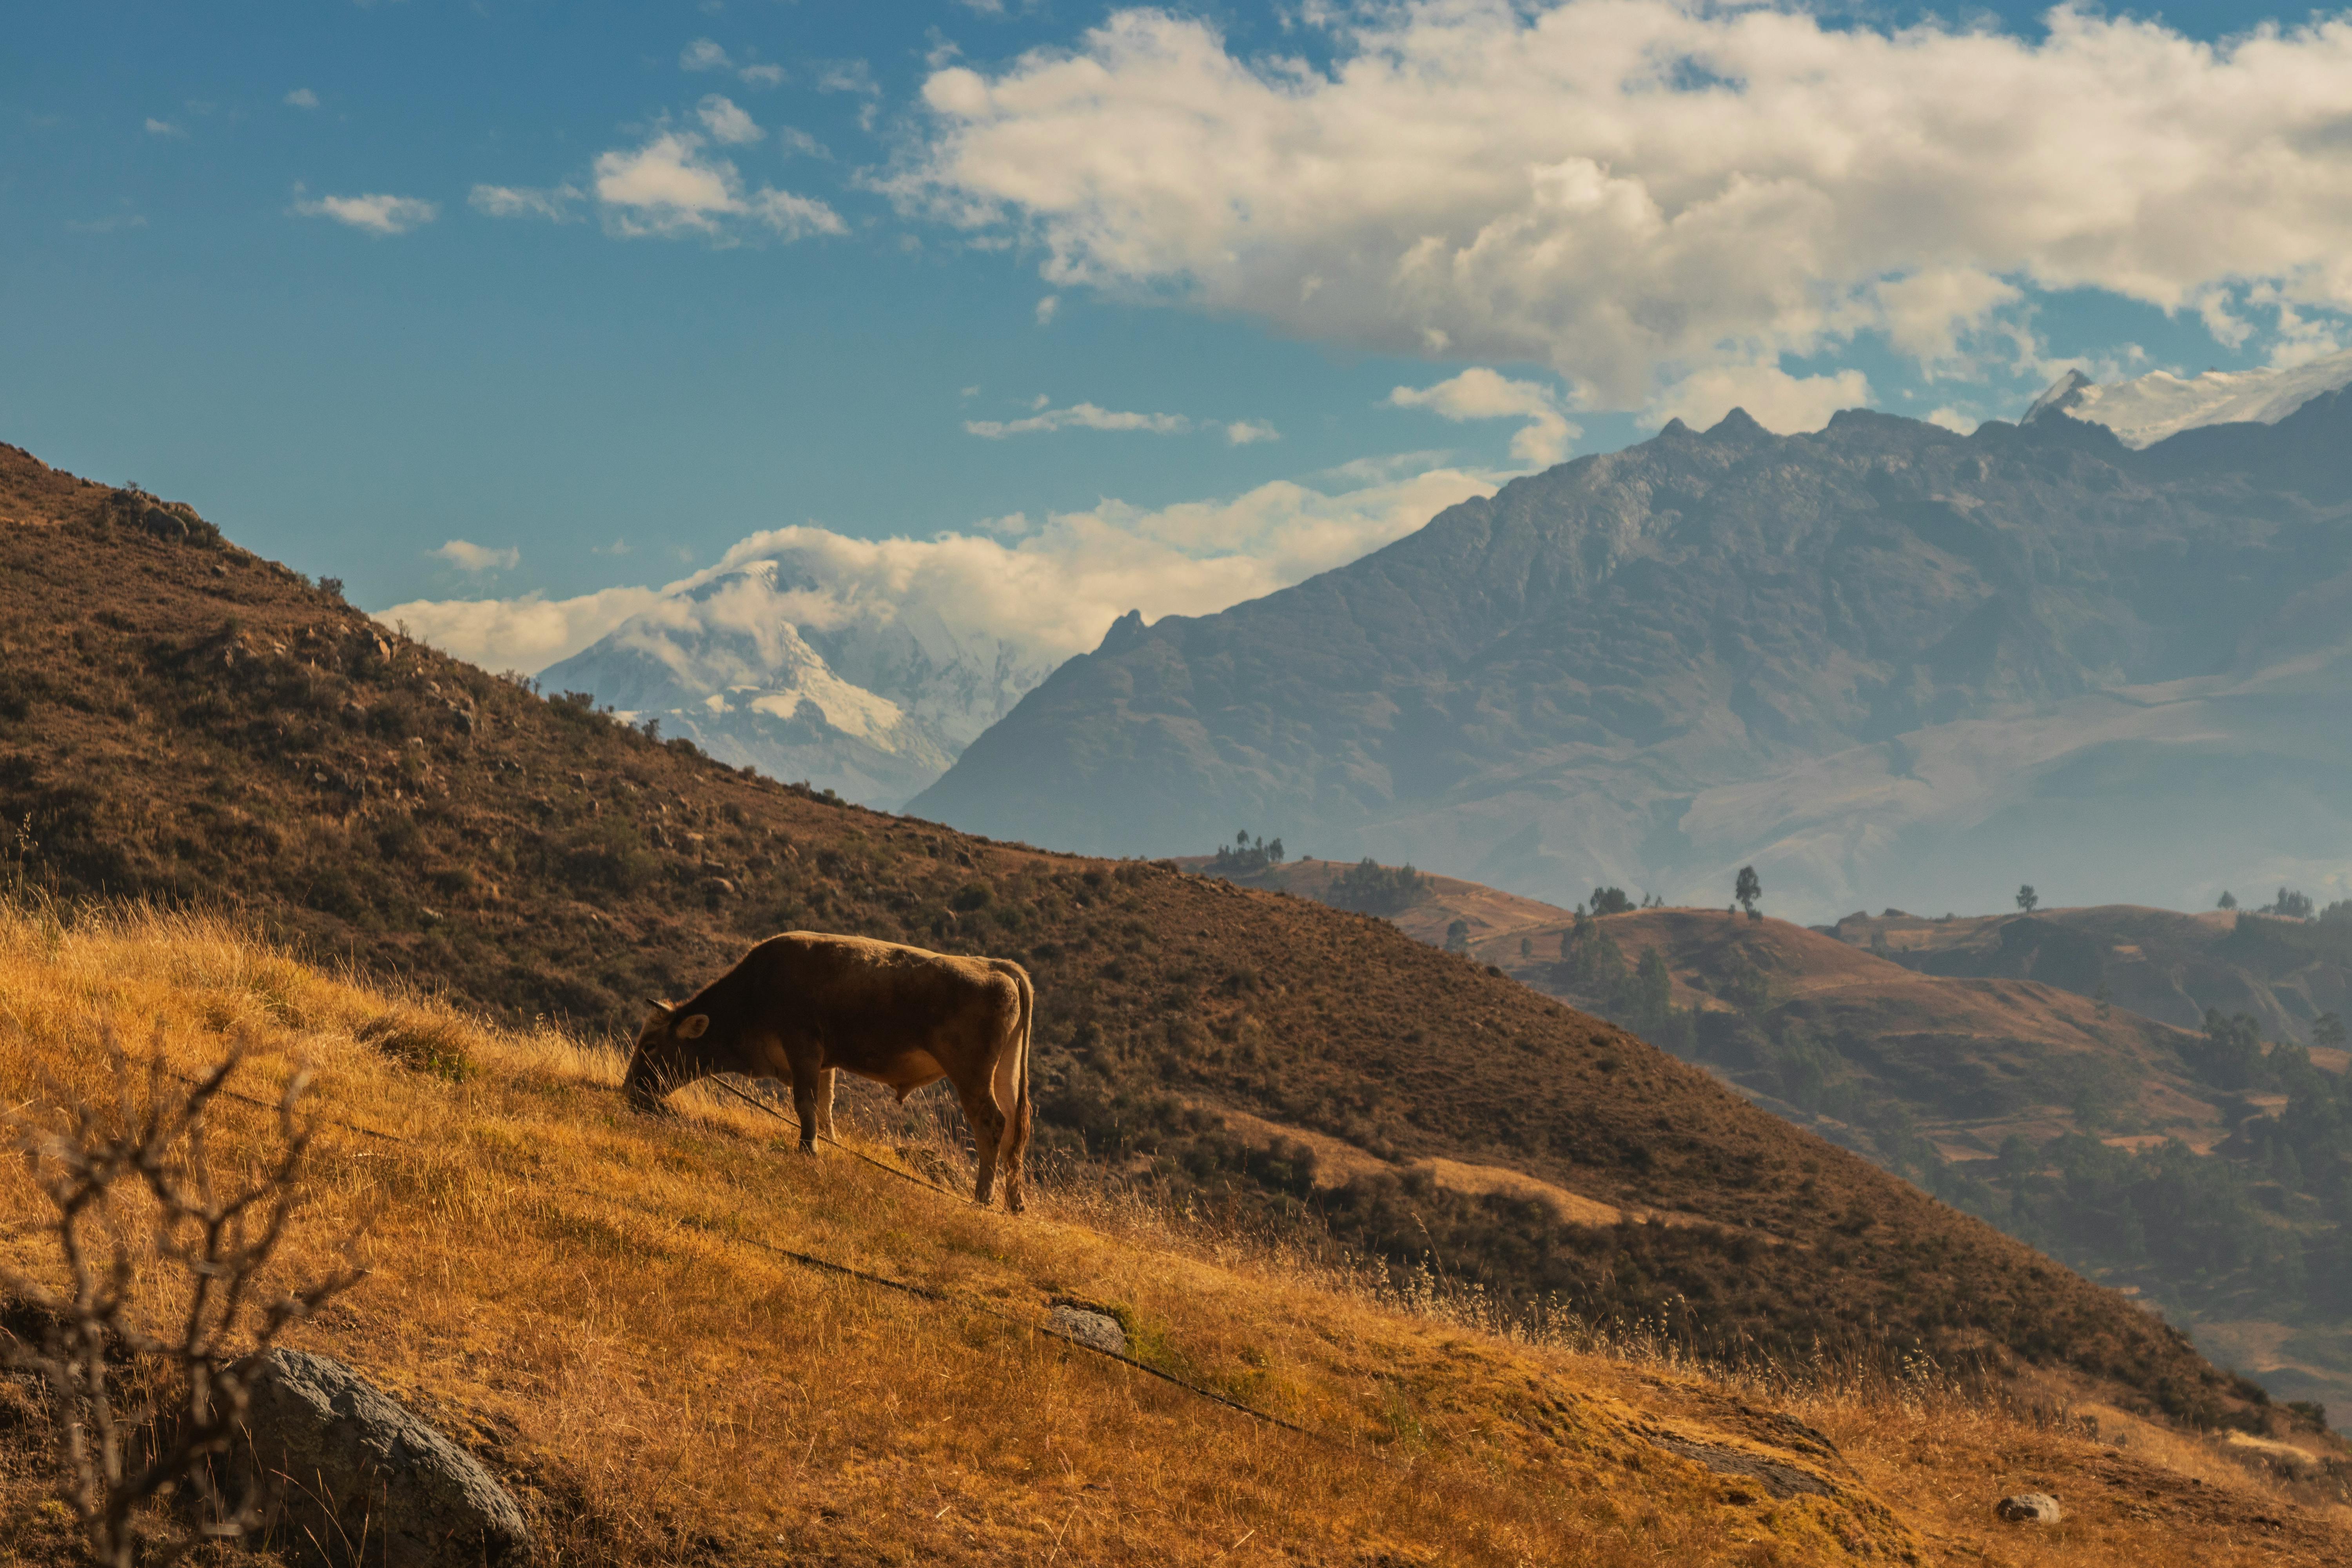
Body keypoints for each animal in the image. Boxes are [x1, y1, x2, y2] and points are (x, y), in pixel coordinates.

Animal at [622, 931, 1035, 1211]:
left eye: (650, 1046)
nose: (628, 1090)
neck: (756, 990)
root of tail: (993, 966)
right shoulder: (825, 1062)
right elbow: (825, 1108)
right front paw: (829, 1144)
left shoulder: (803, 1047)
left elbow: (805, 1103)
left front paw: (809, 1150)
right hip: (1005, 1074)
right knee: (1014, 1130)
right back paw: (1014, 1203)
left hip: (972, 1074)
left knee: (992, 1123)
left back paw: (982, 1196)